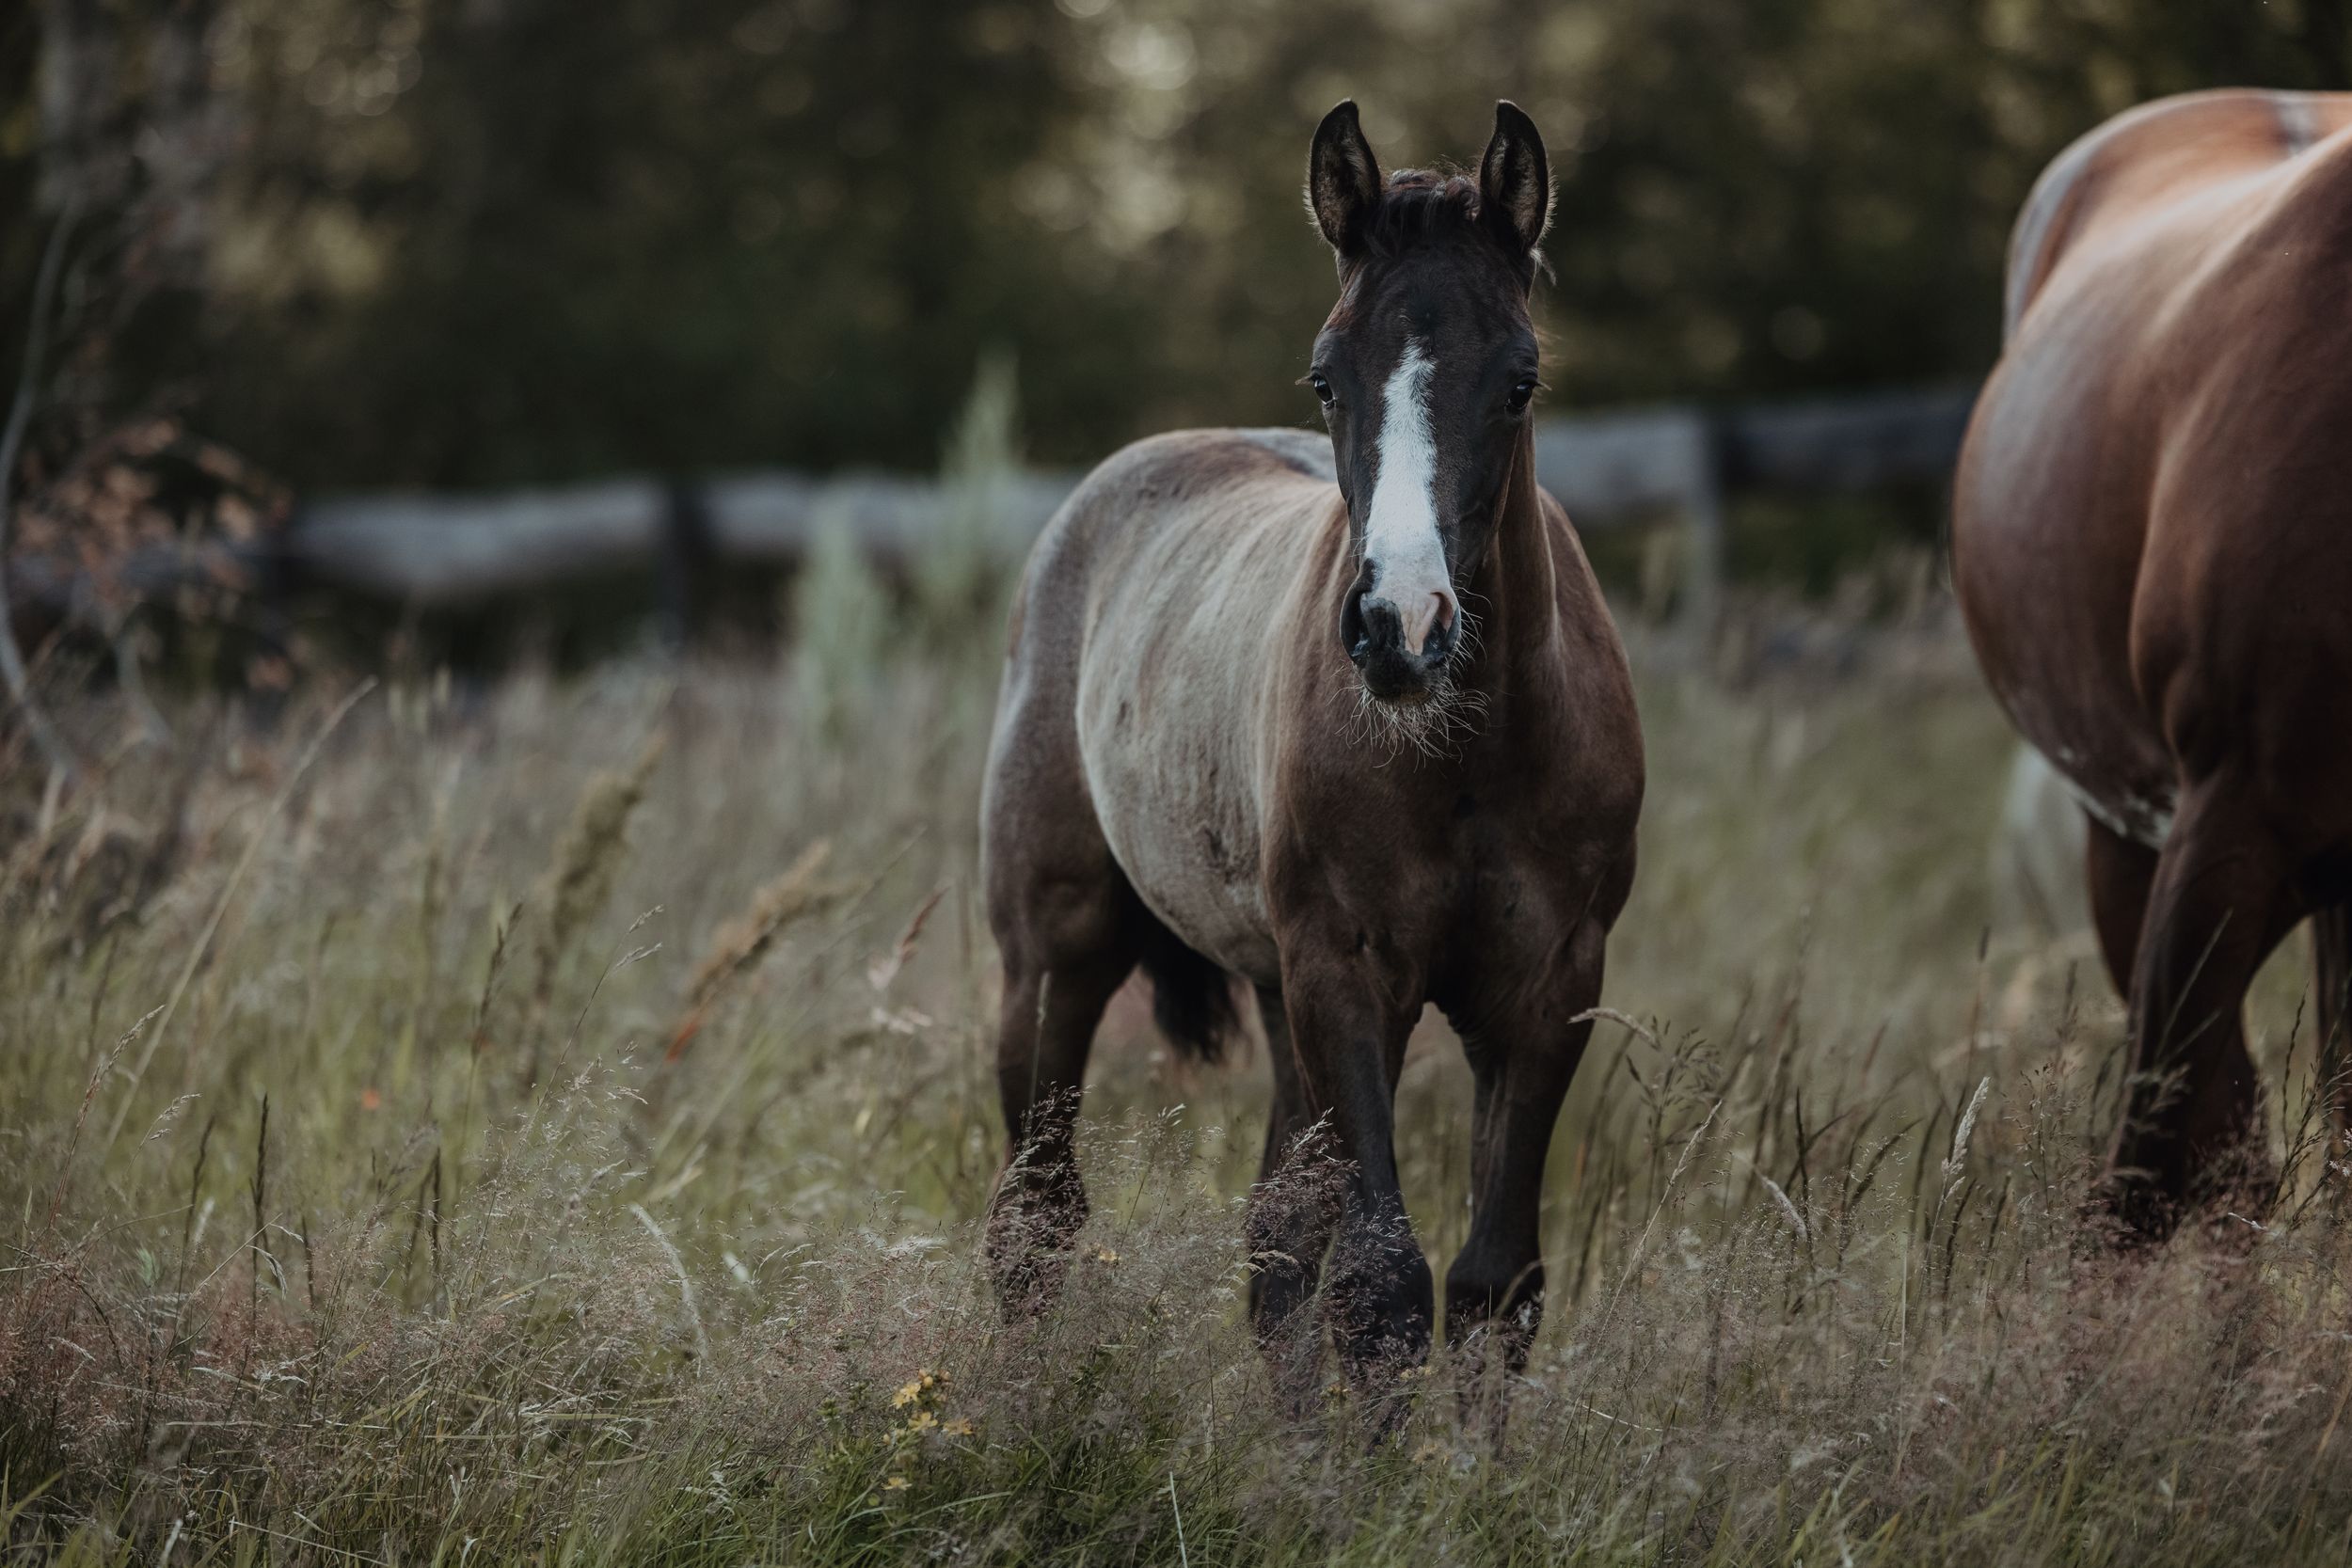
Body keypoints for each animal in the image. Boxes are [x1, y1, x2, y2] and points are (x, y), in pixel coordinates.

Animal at [979, 101, 1643, 1402]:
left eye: (1521, 380)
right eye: (1326, 376)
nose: (1399, 625)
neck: (1464, 755)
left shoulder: (1548, 988)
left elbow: (1491, 1287)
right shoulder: (1347, 972)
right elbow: (1380, 1281)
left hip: (1276, 995)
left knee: (1272, 1243)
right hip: (1054, 958)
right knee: (1036, 1219)